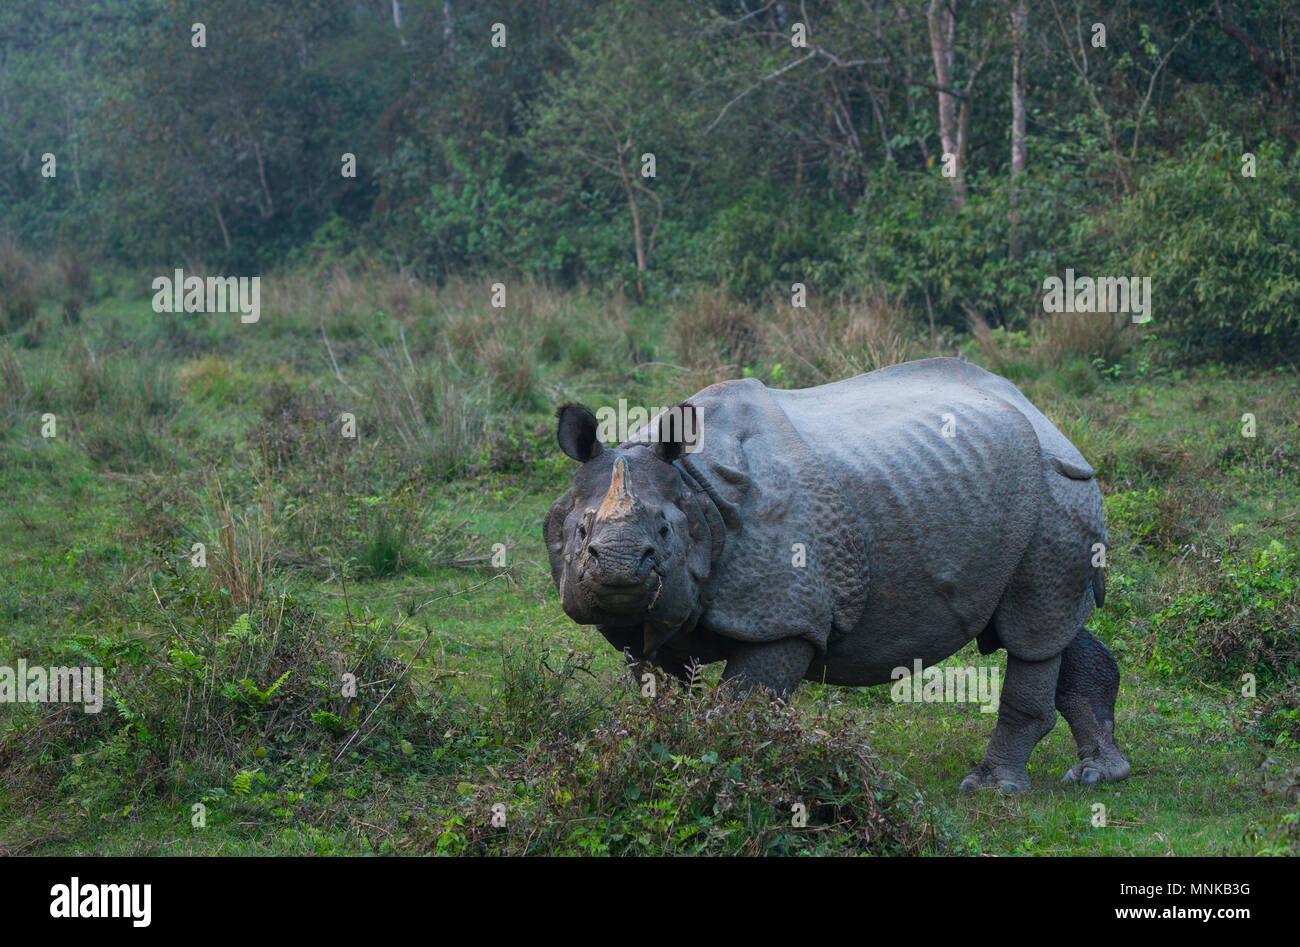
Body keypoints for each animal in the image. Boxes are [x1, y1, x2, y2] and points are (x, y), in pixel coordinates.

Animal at [543, 357, 1129, 792]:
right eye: (580, 531)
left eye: (665, 532)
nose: (619, 570)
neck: (694, 489)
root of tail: (1043, 415)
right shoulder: (650, 622)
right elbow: (659, 695)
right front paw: (663, 763)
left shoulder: (787, 618)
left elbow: (741, 708)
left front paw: (723, 776)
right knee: (1050, 627)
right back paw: (1100, 774)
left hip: (1057, 486)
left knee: (1032, 630)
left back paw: (992, 788)